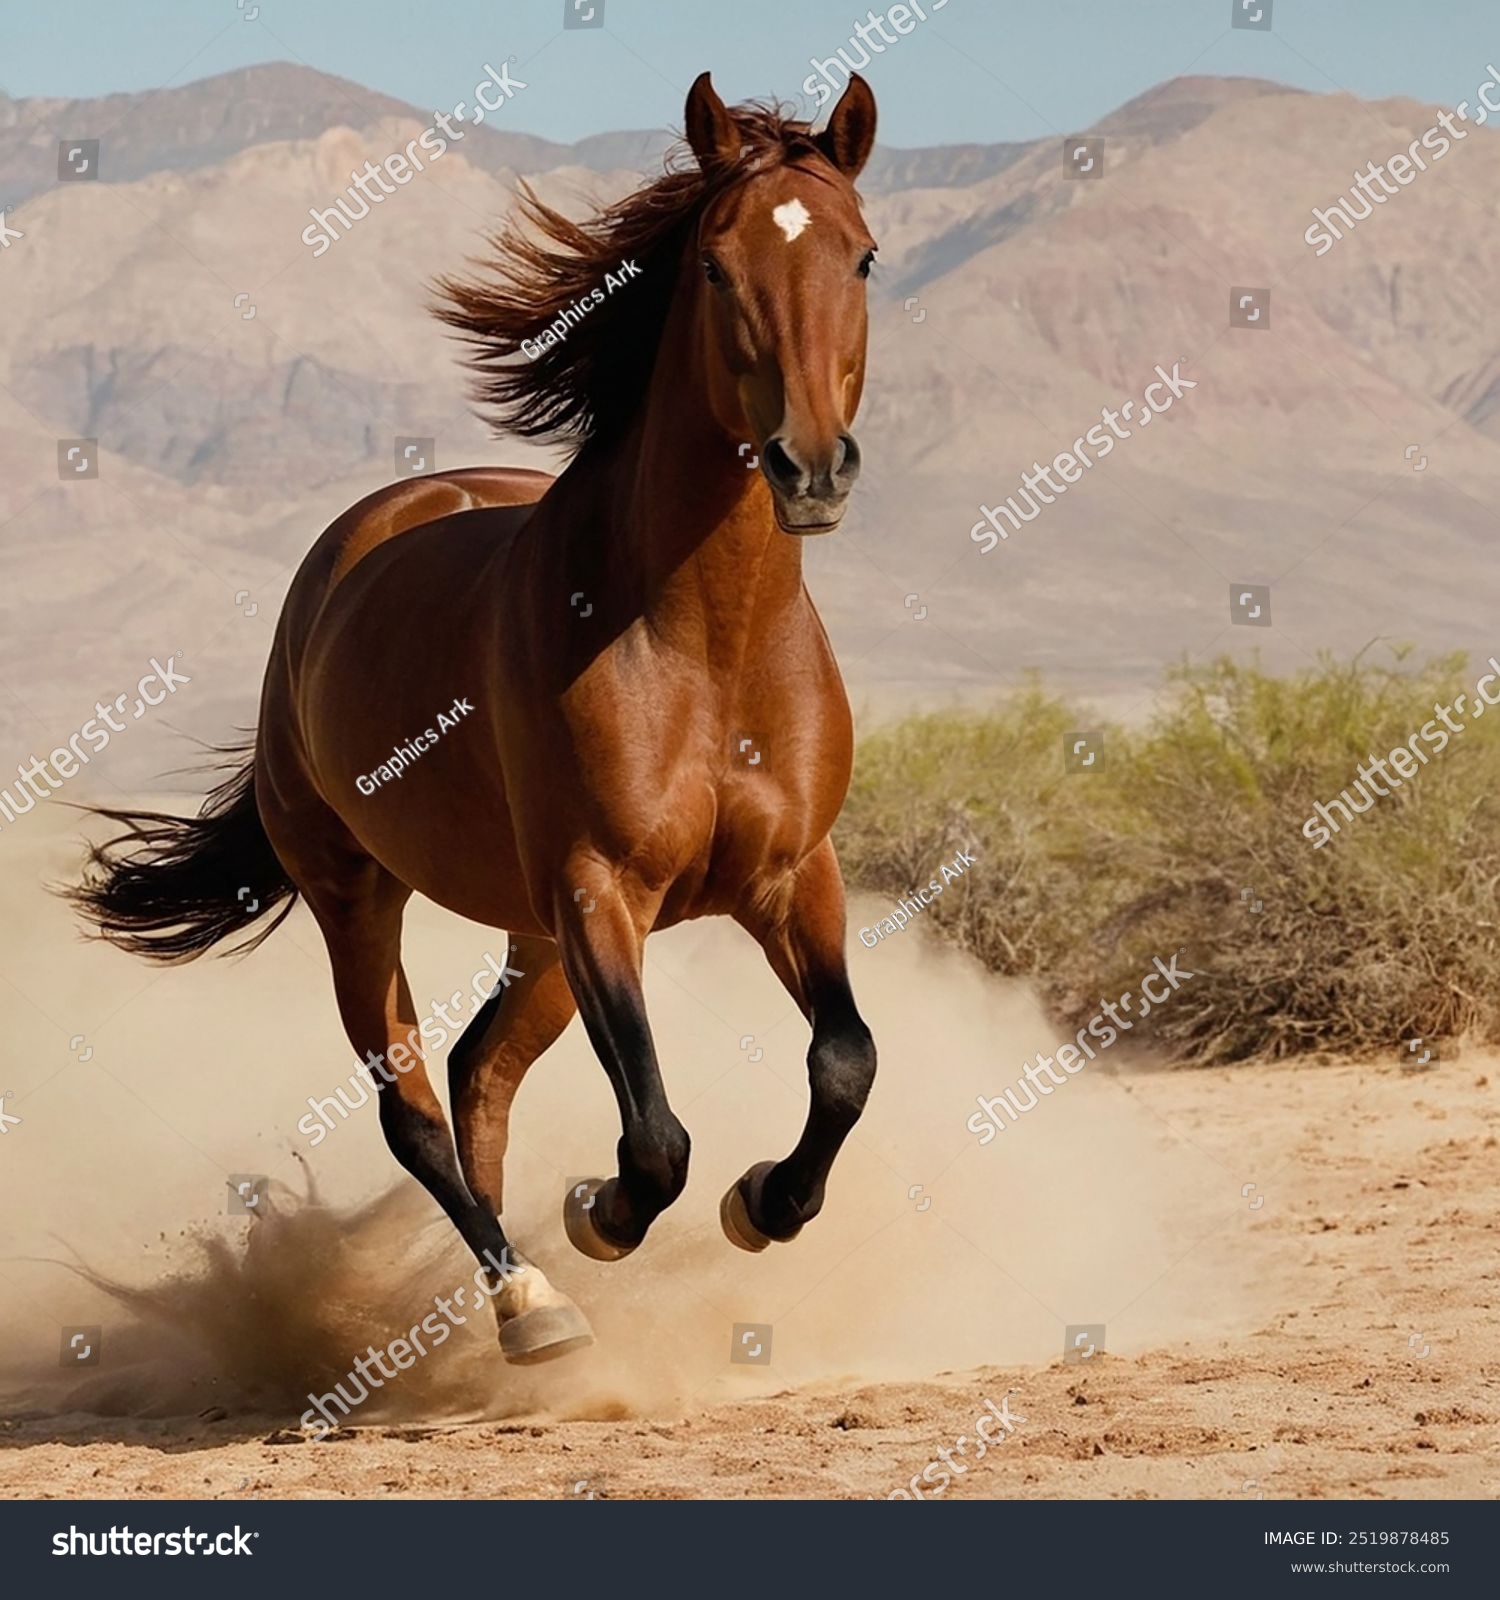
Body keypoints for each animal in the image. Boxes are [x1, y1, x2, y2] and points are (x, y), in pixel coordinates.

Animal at [69, 71, 881, 1366]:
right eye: (714, 264)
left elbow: (844, 1059)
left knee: (479, 1072)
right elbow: (656, 1136)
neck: (704, 644)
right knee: (412, 1105)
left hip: (535, 933)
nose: (811, 469)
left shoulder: (792, 874)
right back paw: (531, 1304)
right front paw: (603, 1215)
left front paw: (763, 1203)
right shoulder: (599, 889)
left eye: (861, 257)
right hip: (365, 899)